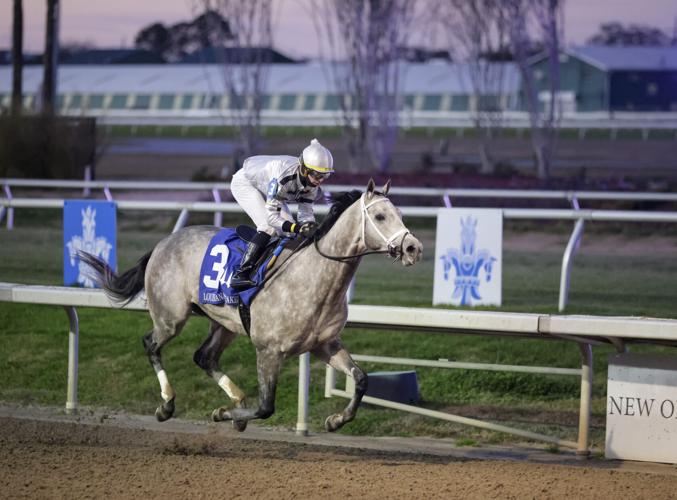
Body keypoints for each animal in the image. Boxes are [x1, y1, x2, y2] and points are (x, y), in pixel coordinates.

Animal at [79, 179, 423, 433]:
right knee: (151, 344)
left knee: (204, 356)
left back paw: (236, 399)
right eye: (380, 216)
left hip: (225, 323)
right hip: (170, 317)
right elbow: (266, 407)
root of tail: (164, 242)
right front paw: (223, 414)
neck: (313, 278)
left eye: (400, 213)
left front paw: (336, 420)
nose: (413, 248)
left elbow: (362, 379)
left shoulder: (325, 344)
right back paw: (167, 404)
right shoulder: (268, 351)